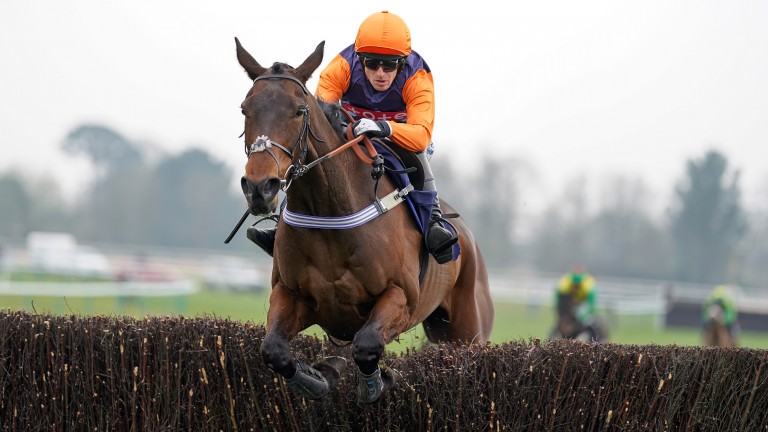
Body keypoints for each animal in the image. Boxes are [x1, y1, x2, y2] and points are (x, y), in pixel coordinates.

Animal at [234, 38, 494, 403]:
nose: (260, 187)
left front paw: (376, 382)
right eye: (246, 109)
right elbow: (274, 349)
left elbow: (367, 345)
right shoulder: (291, 294)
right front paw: (318, 377)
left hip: (467, 330)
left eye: (298, 110)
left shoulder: (400, 298)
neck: (328, 213)